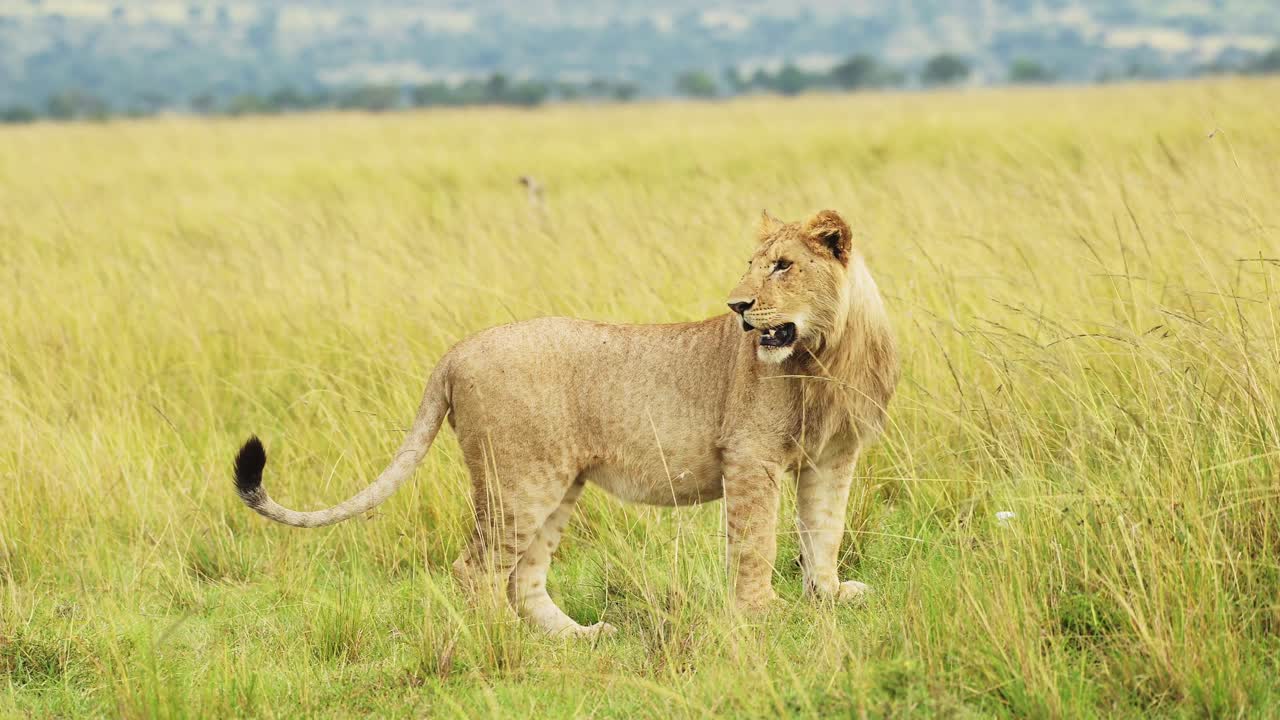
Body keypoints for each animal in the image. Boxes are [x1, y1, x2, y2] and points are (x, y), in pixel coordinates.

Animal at [233, 208, 899, 638]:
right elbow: (756, 542)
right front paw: (762, 614)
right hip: (519, 481)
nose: (736, 306)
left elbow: (825, 529)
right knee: (477, 570)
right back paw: (504, 641)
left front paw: (829, 595)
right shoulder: (750, 457)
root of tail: (457, 350)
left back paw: (577, 637)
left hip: (558, 484)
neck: (825, 355)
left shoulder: (834, 458)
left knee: (524, 577)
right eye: (755, 266)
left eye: (783, 266)